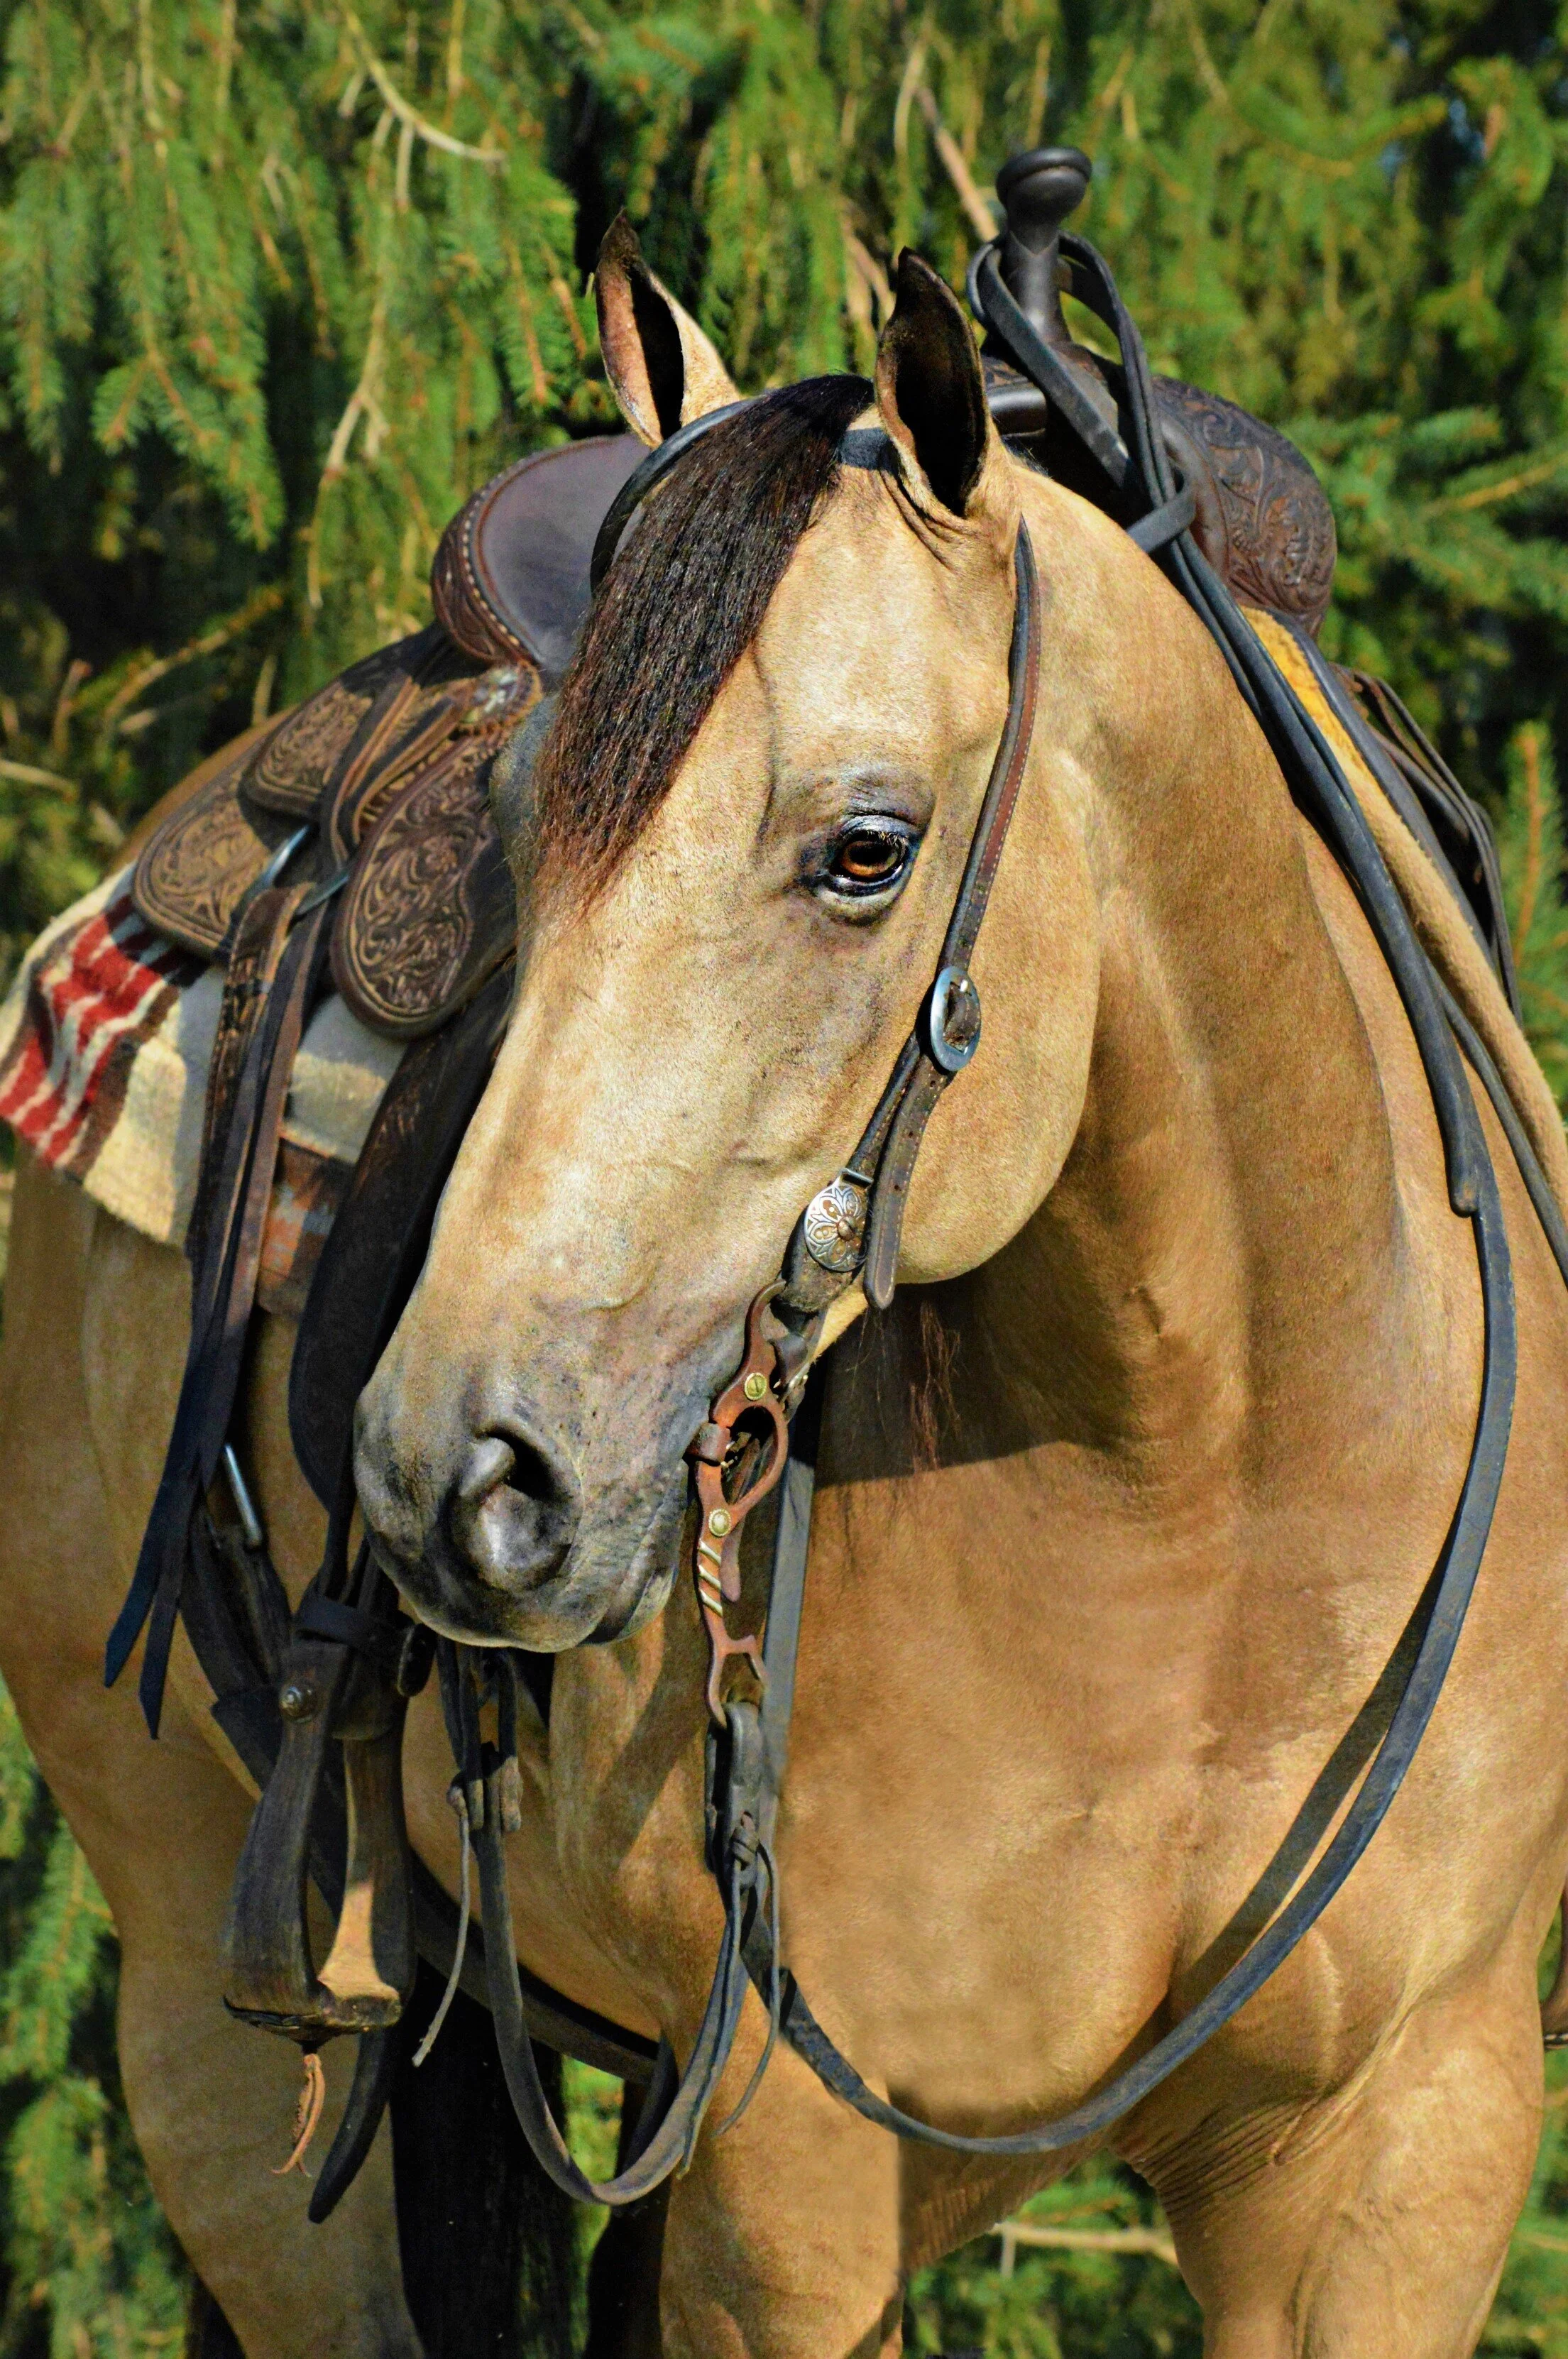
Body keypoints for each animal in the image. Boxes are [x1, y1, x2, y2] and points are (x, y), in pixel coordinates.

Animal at [3, 223, 1568, 2359]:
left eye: (865, 850)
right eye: (516, 837)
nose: (453, 1476)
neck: (1216, 1505)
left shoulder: (1405, 2145)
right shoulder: (788, 2179)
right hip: (216, 2030)